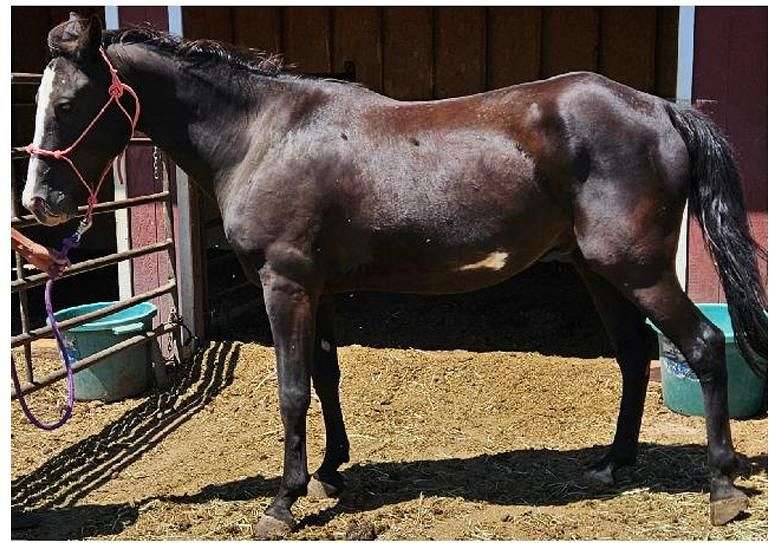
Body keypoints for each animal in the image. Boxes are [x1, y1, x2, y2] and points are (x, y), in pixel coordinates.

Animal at [21, 14, 766, 537]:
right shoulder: (315, 288)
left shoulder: (284, 285)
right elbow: (324, 375)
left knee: (701, 346)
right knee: (635, 354)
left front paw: (282, 501)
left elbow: (291, 389)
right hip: (599, 270)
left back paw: (722, 489)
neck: (263, 135)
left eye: (69, 103)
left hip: (637, 269)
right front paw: (328, 473)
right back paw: (612, 464)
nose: (38, 203)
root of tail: (661, 108)